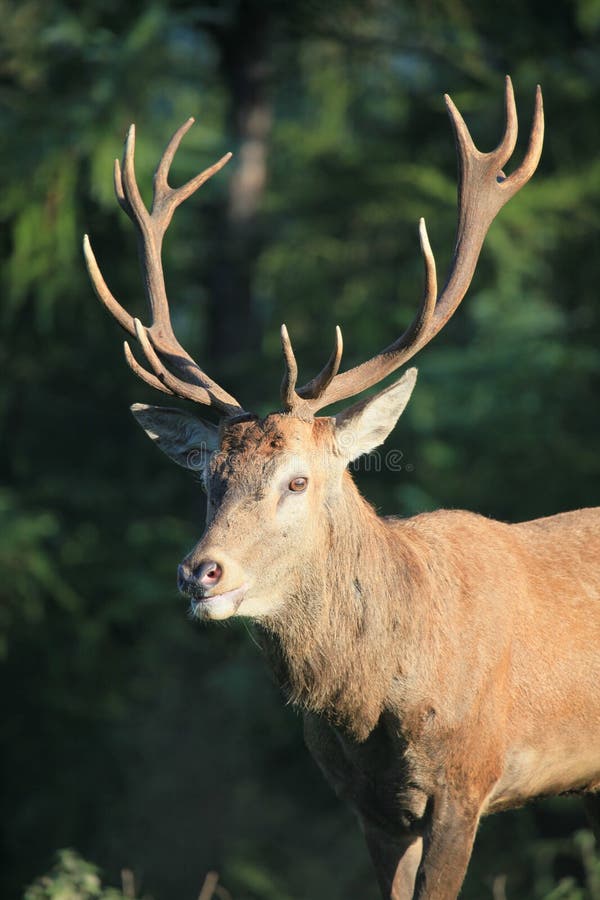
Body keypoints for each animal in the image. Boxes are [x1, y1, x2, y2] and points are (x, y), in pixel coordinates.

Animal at [83, 77, 600, 899]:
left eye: (297, 479)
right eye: (208, 479)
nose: (200, 572)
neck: (376, 705)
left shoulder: (467, 780)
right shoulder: (370, 808)